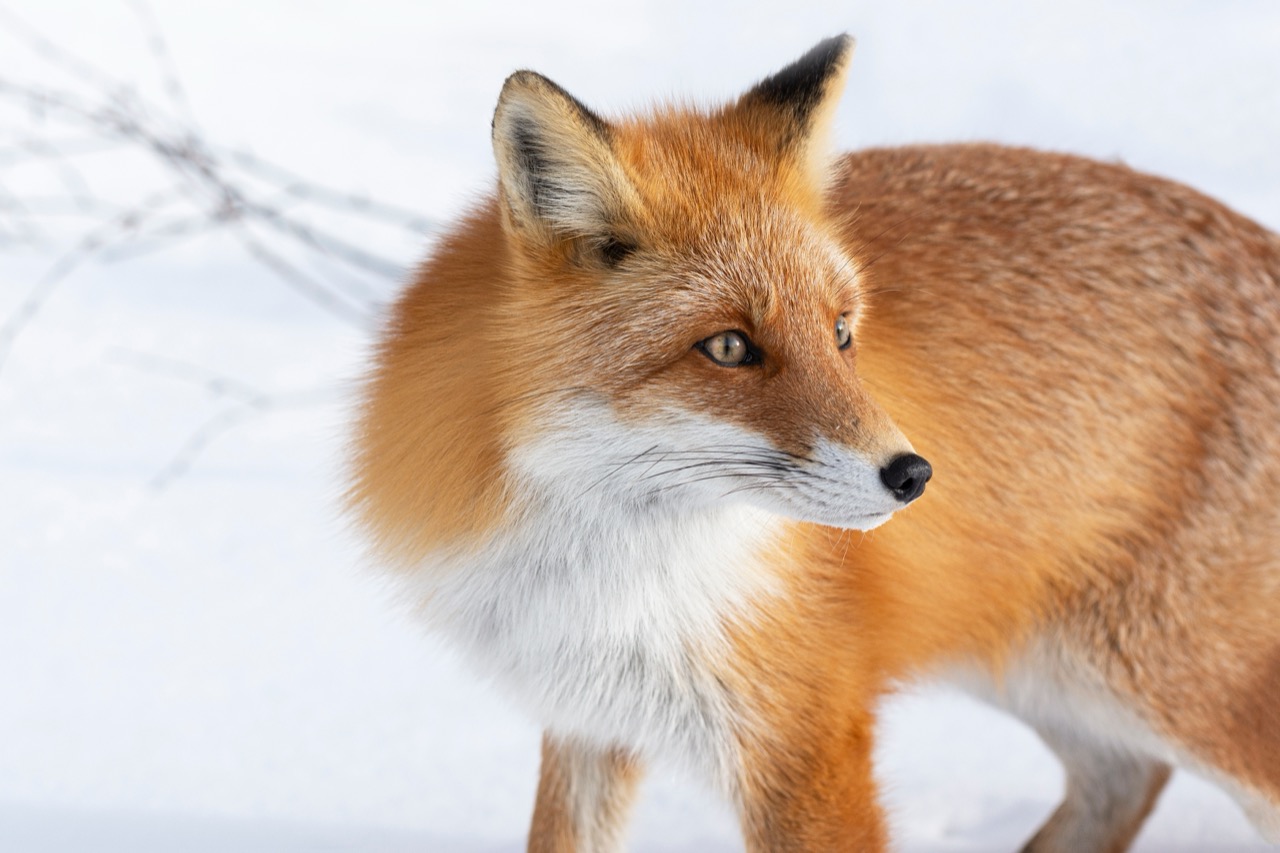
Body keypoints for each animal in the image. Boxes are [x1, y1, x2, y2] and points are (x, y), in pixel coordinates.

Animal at [348, 36, 1280, 852]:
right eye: (728, 346)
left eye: (840, 332)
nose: (914, 474)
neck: (611, 579)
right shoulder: (588, 720)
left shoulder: (807, 738)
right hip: (1050, 672)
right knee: (1125, 778)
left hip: (1162, 681)